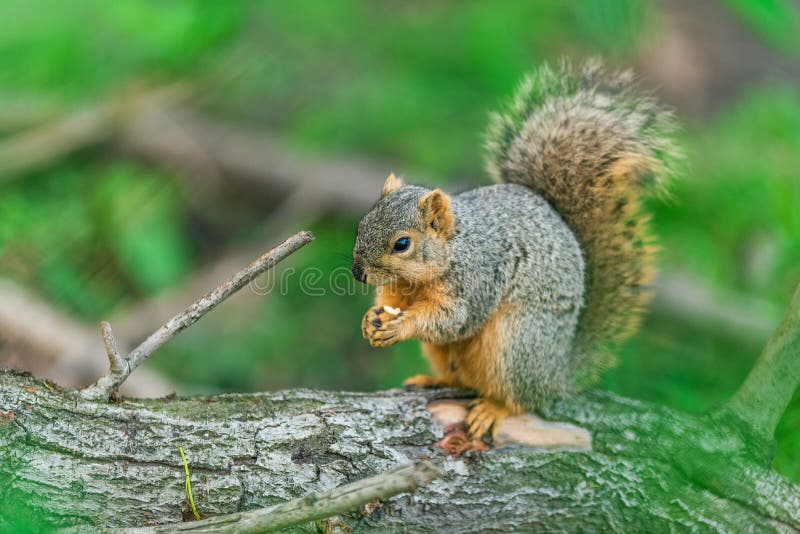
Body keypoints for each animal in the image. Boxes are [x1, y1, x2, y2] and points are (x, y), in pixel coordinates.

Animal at [351, 60, 681, 440]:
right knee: (460, 376)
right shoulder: (401, 287)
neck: (449, 251)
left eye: (402, 244)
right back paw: (432, 381)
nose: (357, 273)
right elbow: (392, 302)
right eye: (362, 223)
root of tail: (558, 374)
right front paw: (371, 319)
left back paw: (493, 409)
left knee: (517, 398)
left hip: (515, 344)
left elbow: (452, 320)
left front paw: (399, 326)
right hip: (449, 353)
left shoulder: (477, 279)